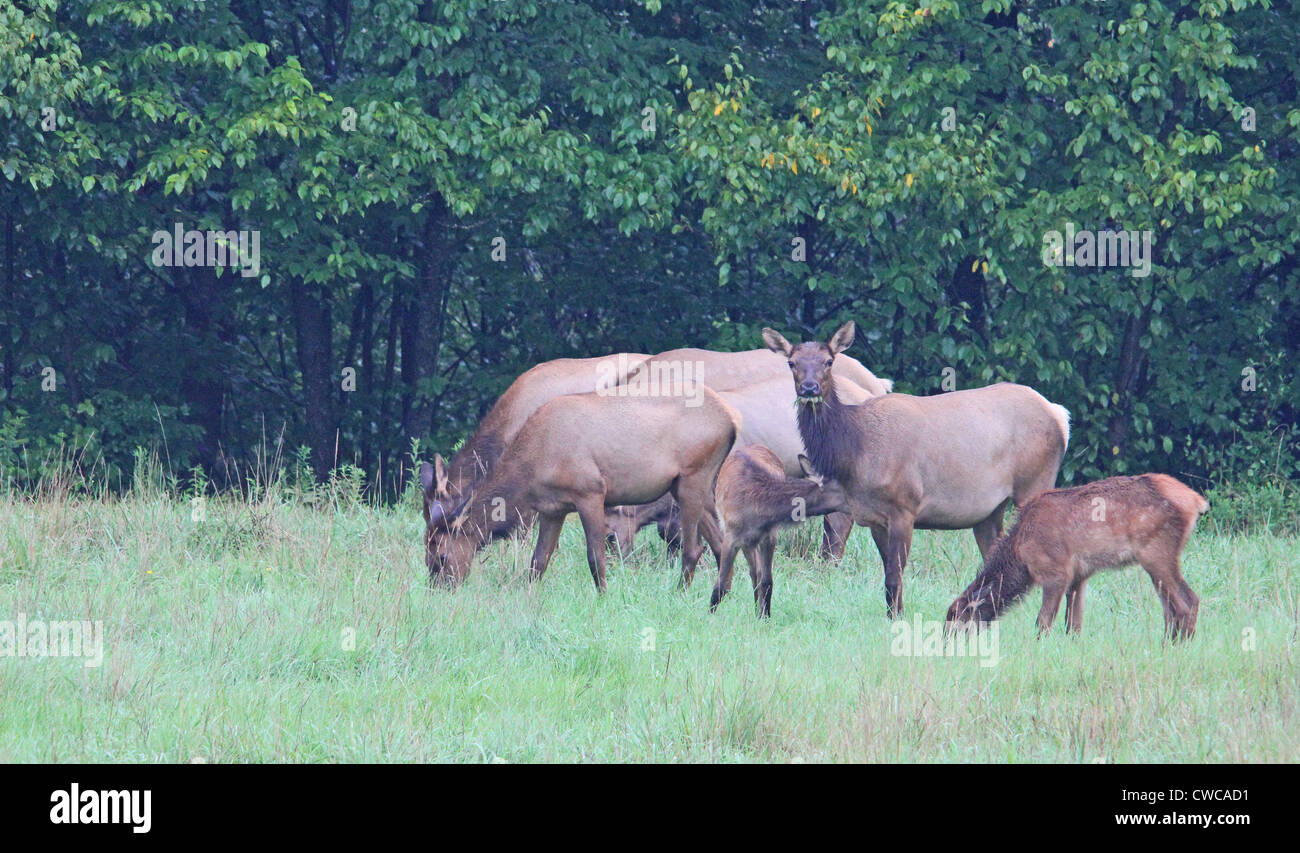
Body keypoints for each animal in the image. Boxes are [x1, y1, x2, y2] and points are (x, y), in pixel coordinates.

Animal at [421, 388, 739, 592]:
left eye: (441, 556)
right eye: (426, 556)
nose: (439, 591)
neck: (533, 469)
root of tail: (732, 418)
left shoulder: (590, 492)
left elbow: (595, 558)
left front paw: (604, 597)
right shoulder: (552, 509)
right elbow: (538, 561)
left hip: (693, 477)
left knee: (694, 548)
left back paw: (680, 593)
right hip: (692, 484)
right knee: (720, 544)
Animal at [708, 445, 850, 618]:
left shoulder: (769, 535)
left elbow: (767, 581)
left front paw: (765, 617)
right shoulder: (730, 535)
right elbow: (721, 584)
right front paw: (709, 616)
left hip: (751, 542)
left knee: (756, 573)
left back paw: (757, 610)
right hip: (744, 540)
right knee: (753, 572)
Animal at [763, 321, 1071, 618]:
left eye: (828, 361)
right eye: (791, 362)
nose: (809, 388)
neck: (856, 449)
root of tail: (1060, 415)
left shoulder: (905, 507)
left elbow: (894, 577)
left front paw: (898, 620)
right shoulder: (875, 518)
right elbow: (889, 575)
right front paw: (894, 615)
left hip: (1035, 482)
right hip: (990, 510)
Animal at [946, 474, 1208, 639]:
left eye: (957, 617)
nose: (948, 645)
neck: (1020, 553)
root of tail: (1196, 501)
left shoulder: (1056, 571)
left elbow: (1043, 622)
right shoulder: (1079, 576)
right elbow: (1073, 625)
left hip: (1157, 553)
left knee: (1187, 602)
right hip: (1155, 563)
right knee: (1169, 610)